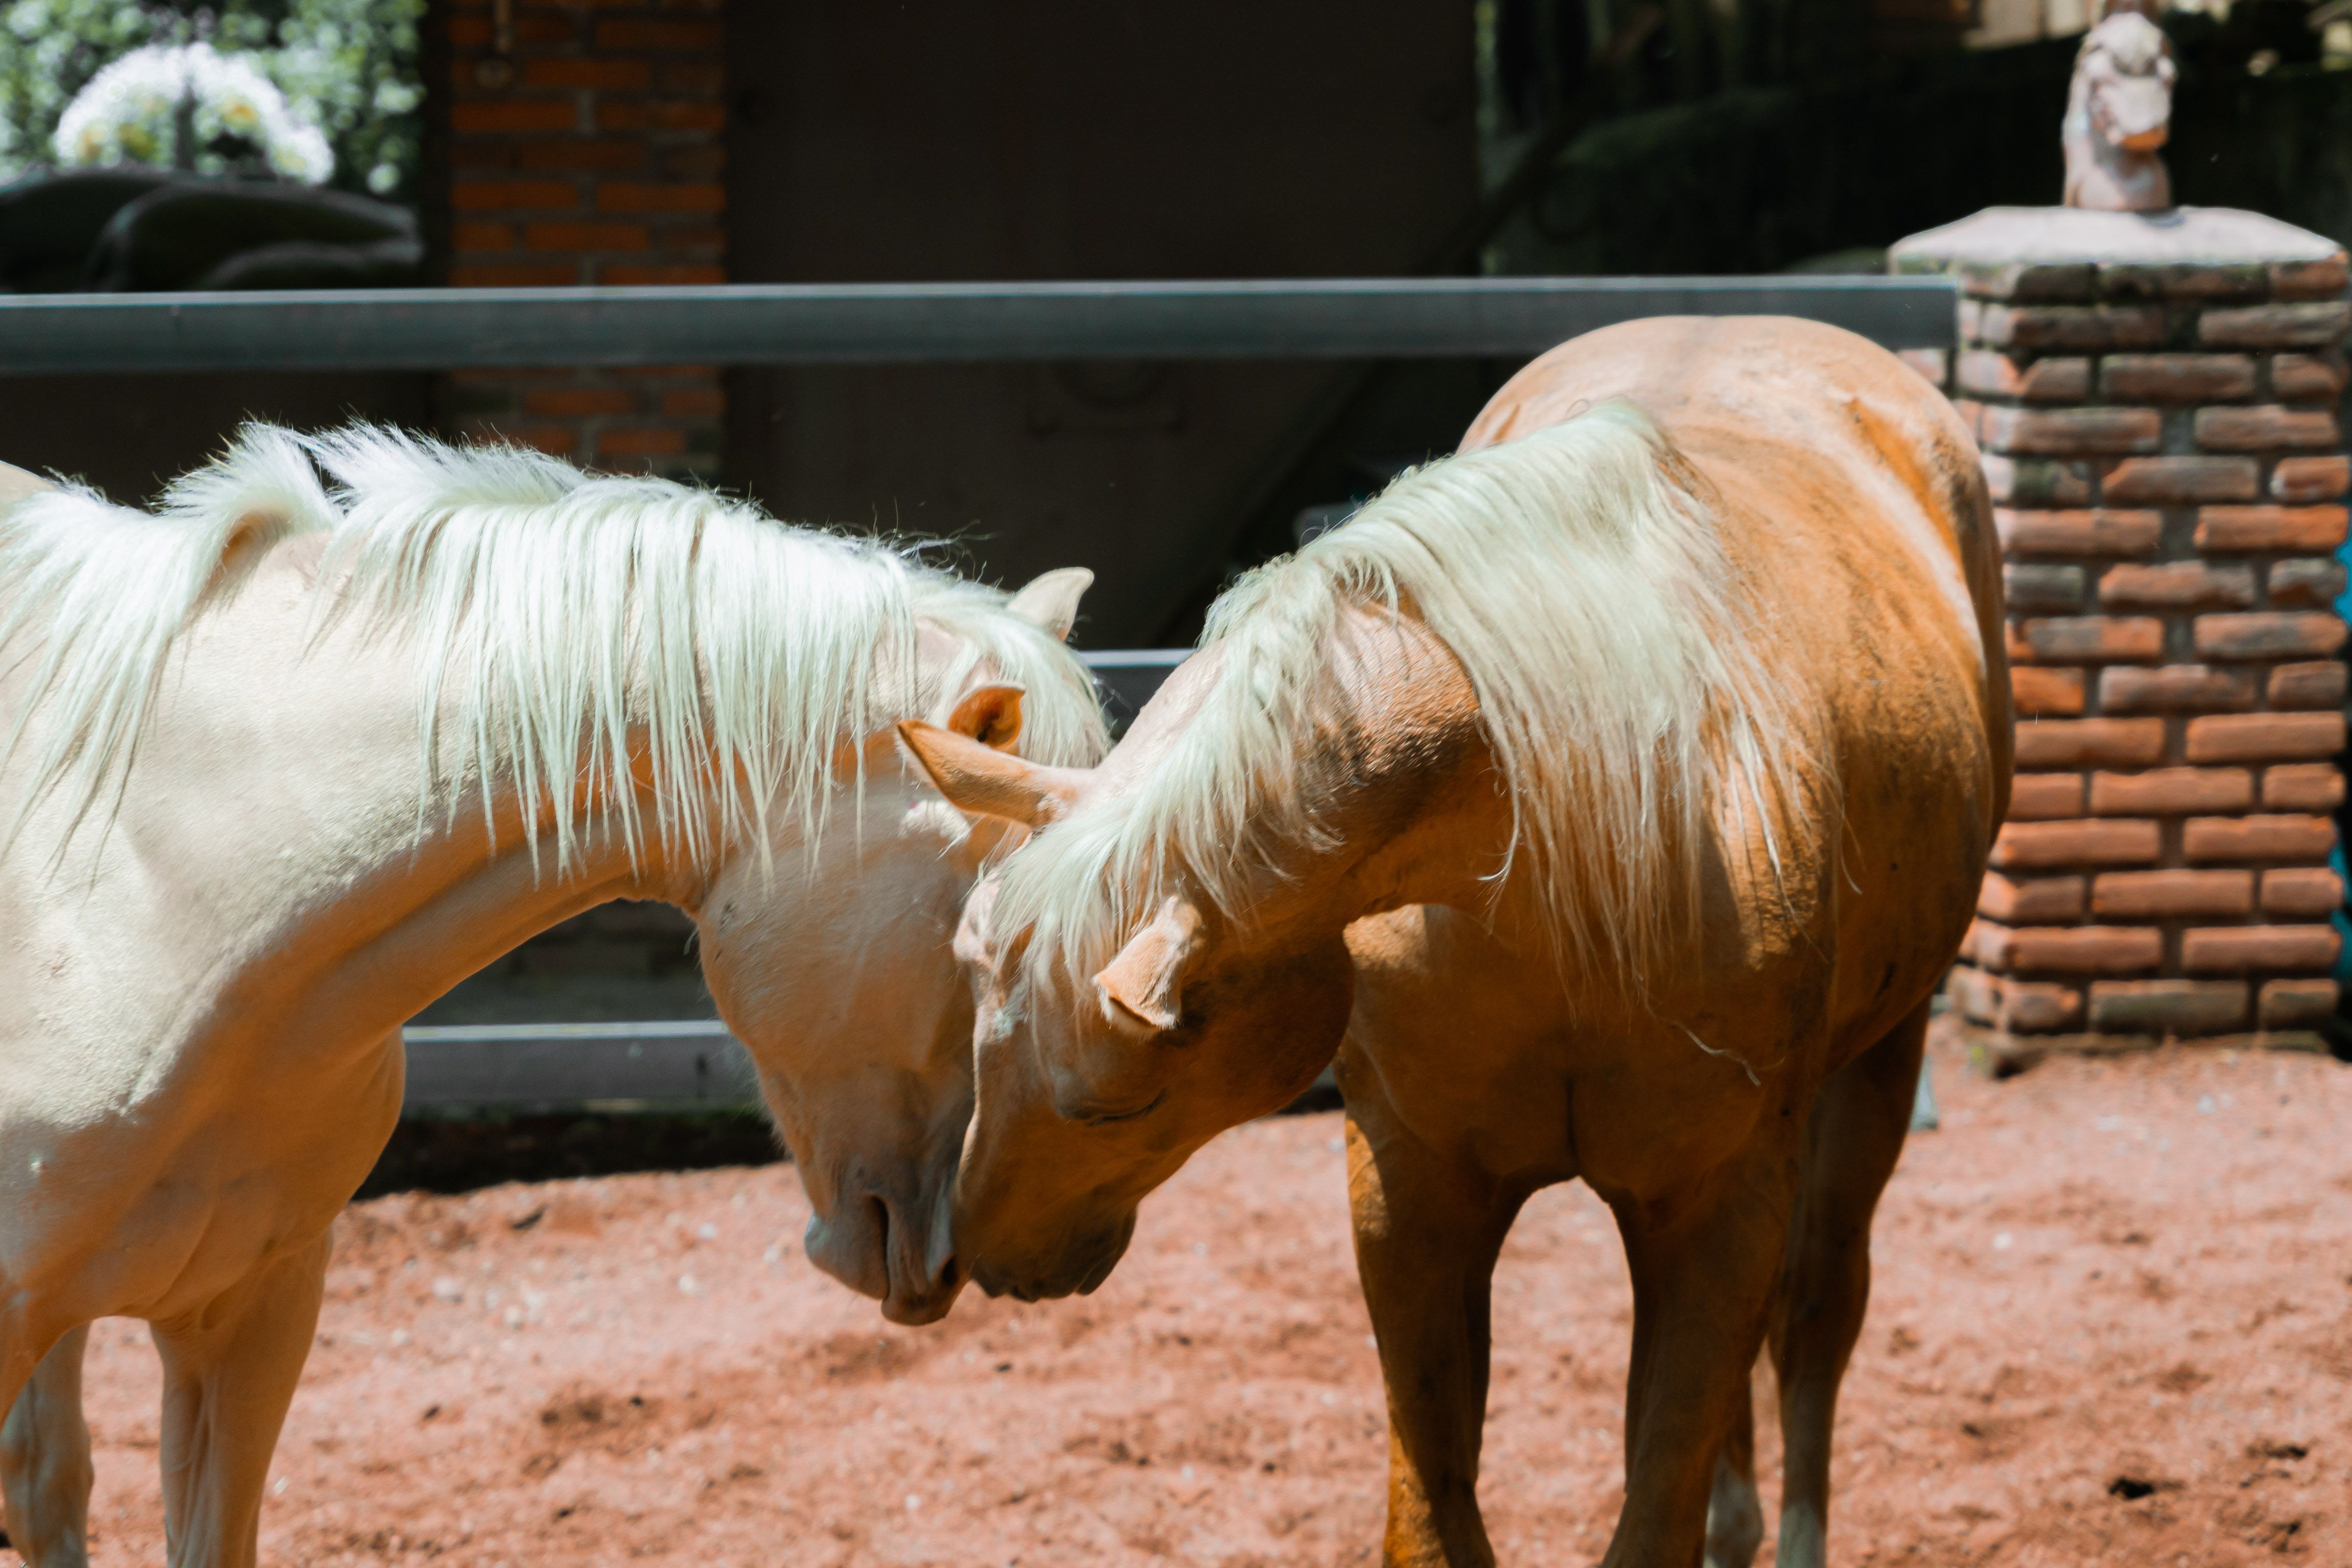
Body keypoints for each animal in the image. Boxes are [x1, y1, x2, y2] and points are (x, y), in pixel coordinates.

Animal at [903, 316, 2009, 1567]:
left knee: (1816, 1320)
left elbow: (1662, 1496)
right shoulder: (1415, 1197)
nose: (981, 1255)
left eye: (1116, 1102)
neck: (1561, 853)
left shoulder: (1717, 1208)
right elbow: (1436, 1509)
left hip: (1881, 1069)